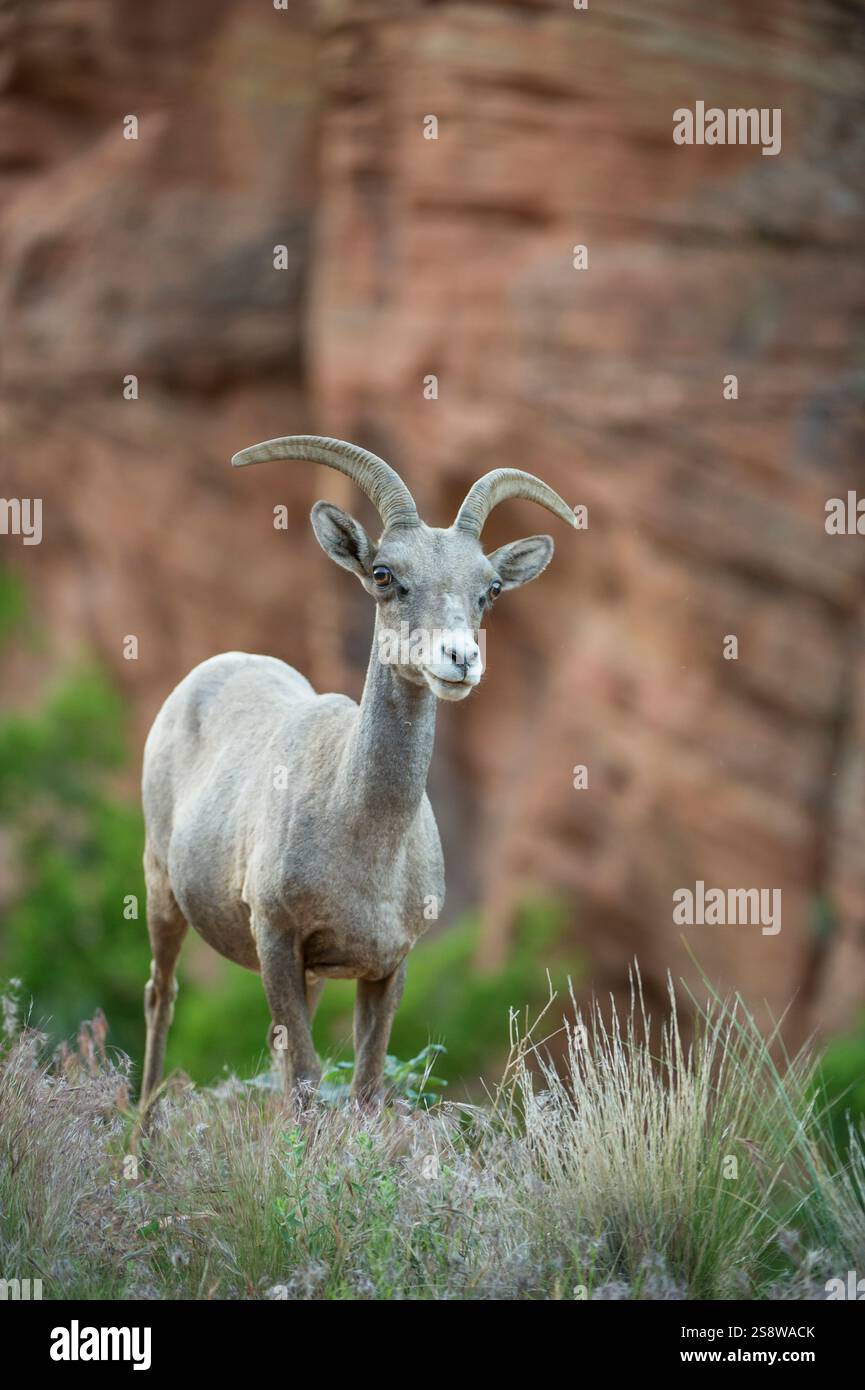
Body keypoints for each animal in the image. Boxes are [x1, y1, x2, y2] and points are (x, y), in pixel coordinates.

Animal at [140, 436, 576, 1108]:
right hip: (162, 889)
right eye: (384, 575)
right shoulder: (276, 938)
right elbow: (308, 1078)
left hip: (311, 976)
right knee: (161, 998)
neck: (364, 840)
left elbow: (365, 1085)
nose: (460, 658)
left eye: (492, 588)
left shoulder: (387, 965)